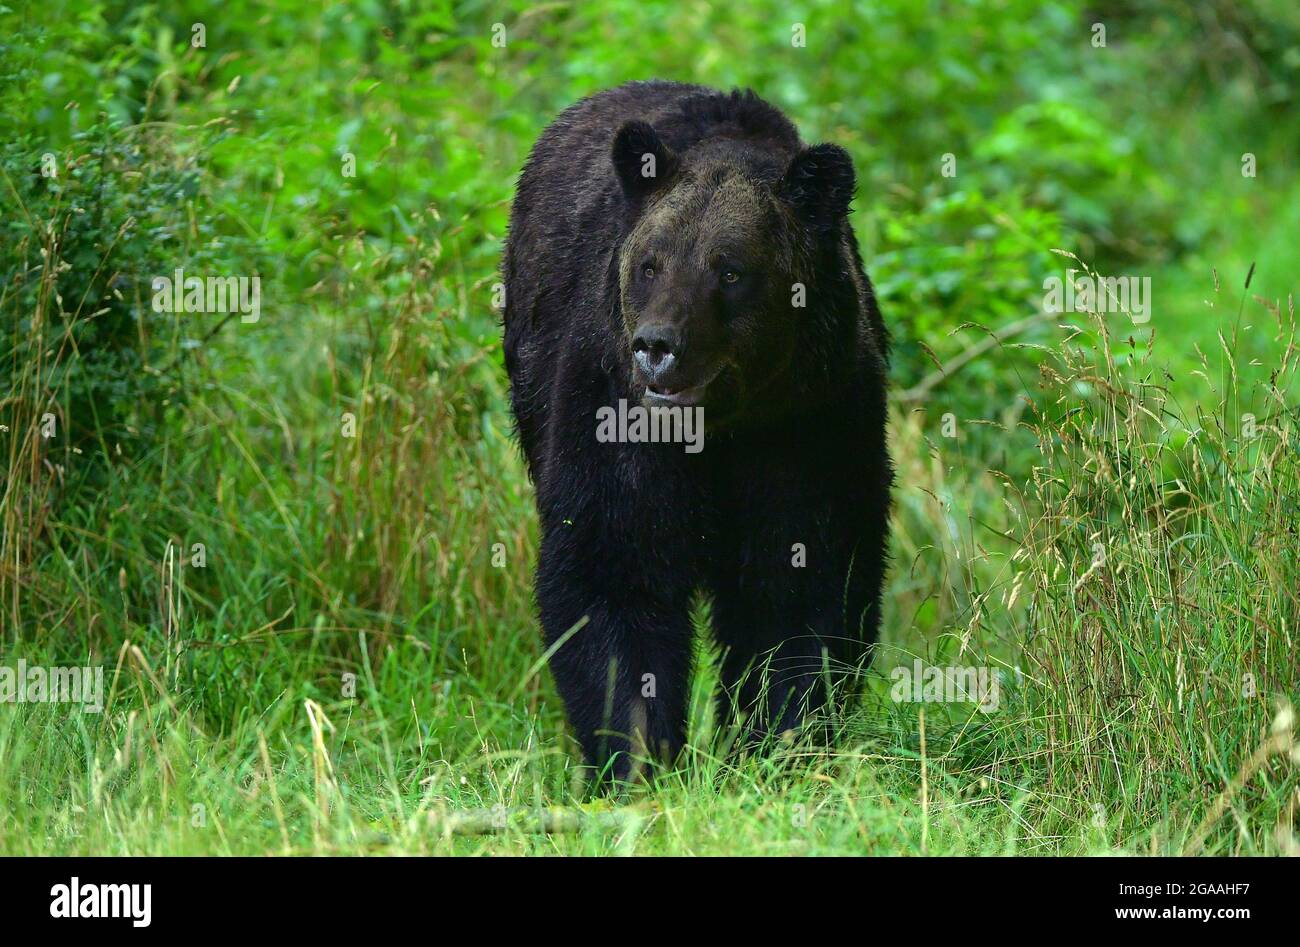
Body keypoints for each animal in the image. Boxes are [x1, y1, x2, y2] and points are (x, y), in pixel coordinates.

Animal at [502, 80, 891, 783]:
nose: (659, 347)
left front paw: (777, 746)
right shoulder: (614, 410)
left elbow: (801, 581)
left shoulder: (811, 422)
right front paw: (636, 757)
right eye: (651, 264)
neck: (721, 424)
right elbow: (614, 570)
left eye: (729, 270)